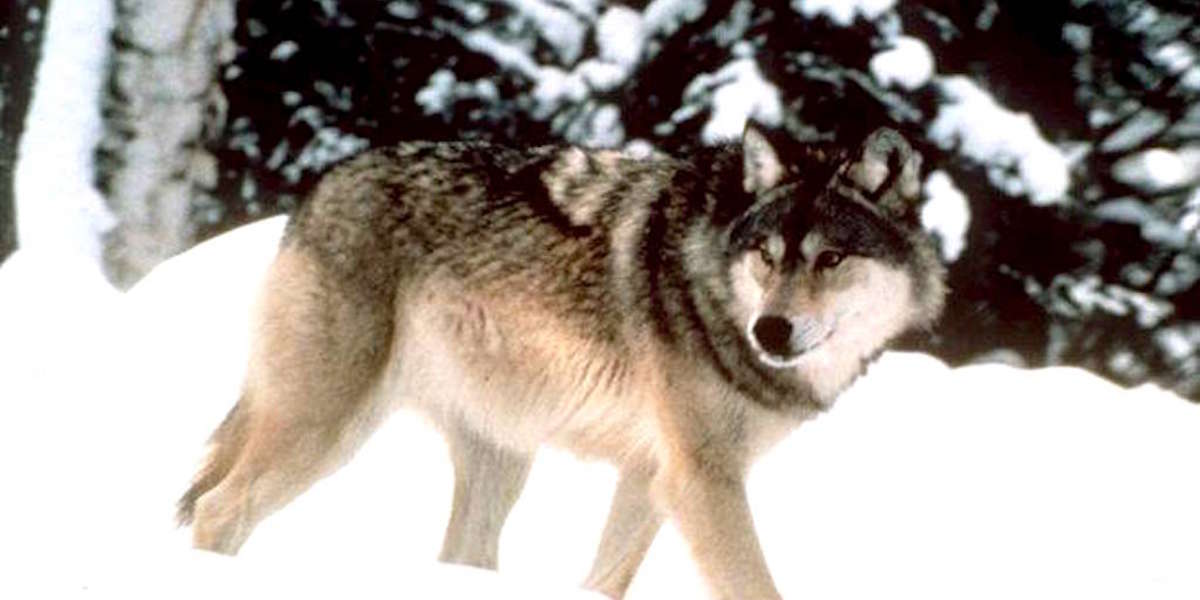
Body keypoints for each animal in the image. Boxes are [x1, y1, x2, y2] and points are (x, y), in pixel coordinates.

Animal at [178, 124, 945, 599]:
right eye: (768, 255)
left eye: (831, 258)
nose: (772, 330)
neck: (709, 276)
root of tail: (321, 186)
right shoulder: (701, 480)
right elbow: (755, 585)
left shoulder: (653, 476)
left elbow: (603, 578)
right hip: (327, 430)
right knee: (218, 511)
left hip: (501, 462)